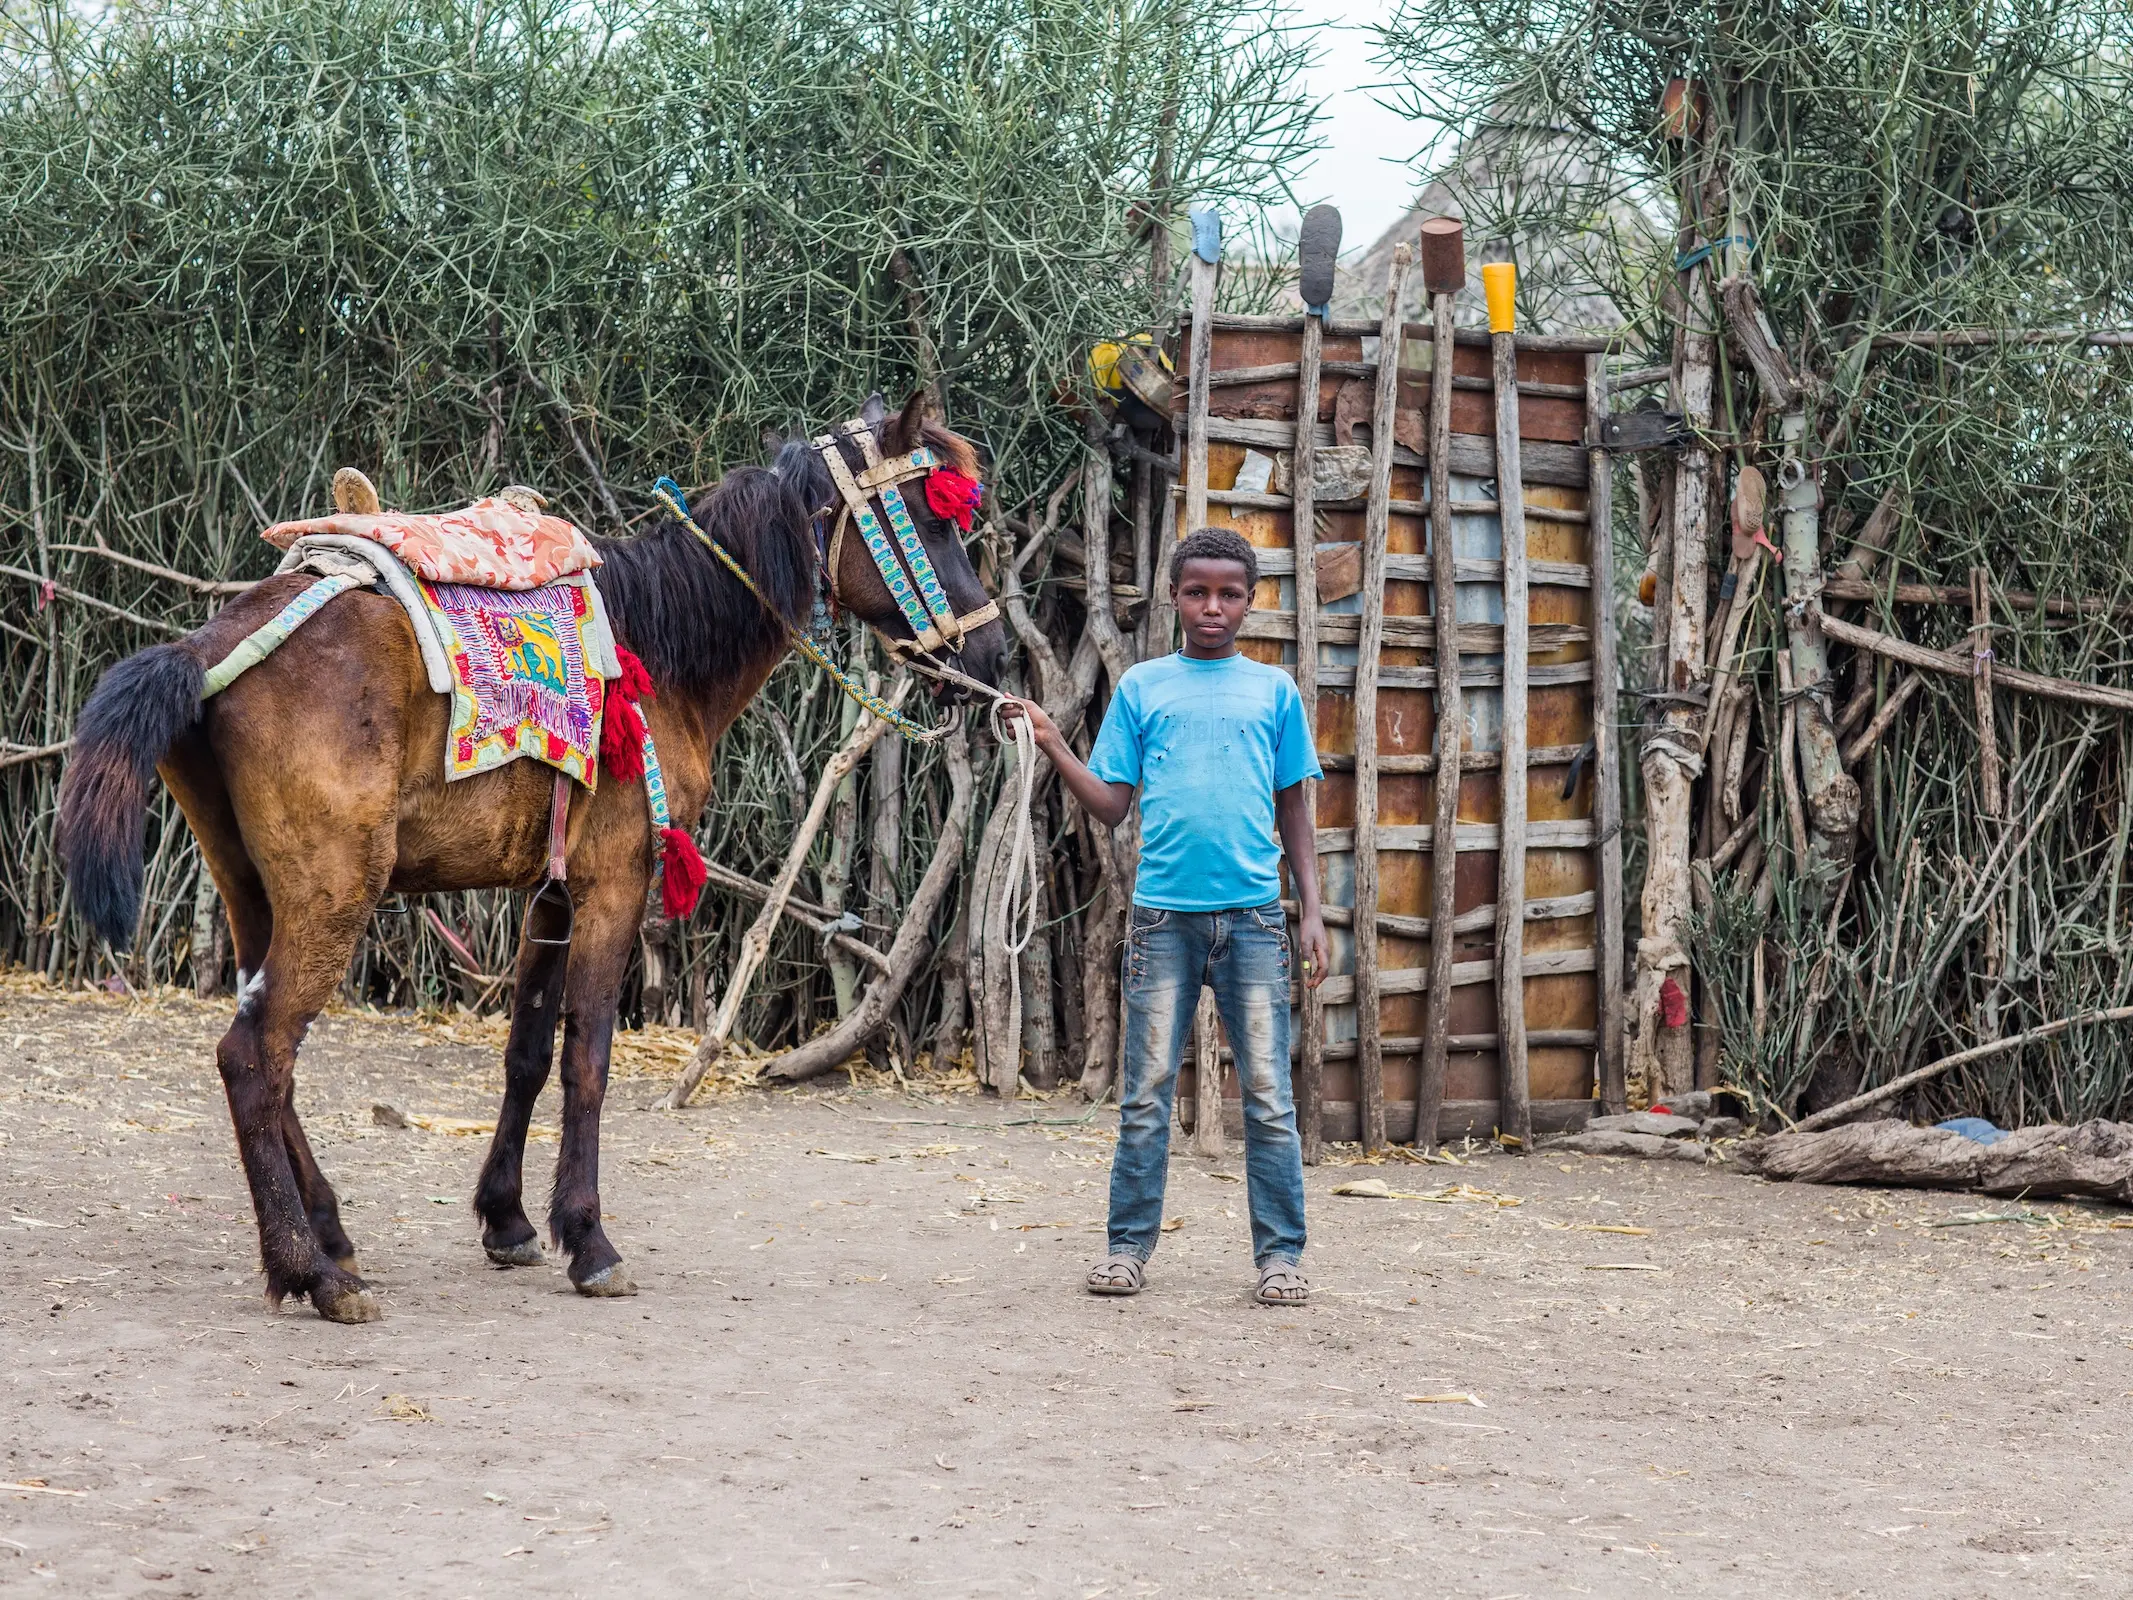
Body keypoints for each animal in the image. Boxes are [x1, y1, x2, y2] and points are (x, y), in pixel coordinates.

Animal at [56, 392, 1006, 1323]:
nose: (992, 654)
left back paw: (329, 1236)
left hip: (253, 890)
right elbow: (587, 1058)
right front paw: (588, 1240)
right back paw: (311, 1271)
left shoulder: (550, 891)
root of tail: (200, 652)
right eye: (933, 515)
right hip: (333, 894)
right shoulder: (616, 882)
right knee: (254, 1055)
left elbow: (527, 1052)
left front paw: (508, 1221)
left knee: (270, 1051)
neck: (662, 650)